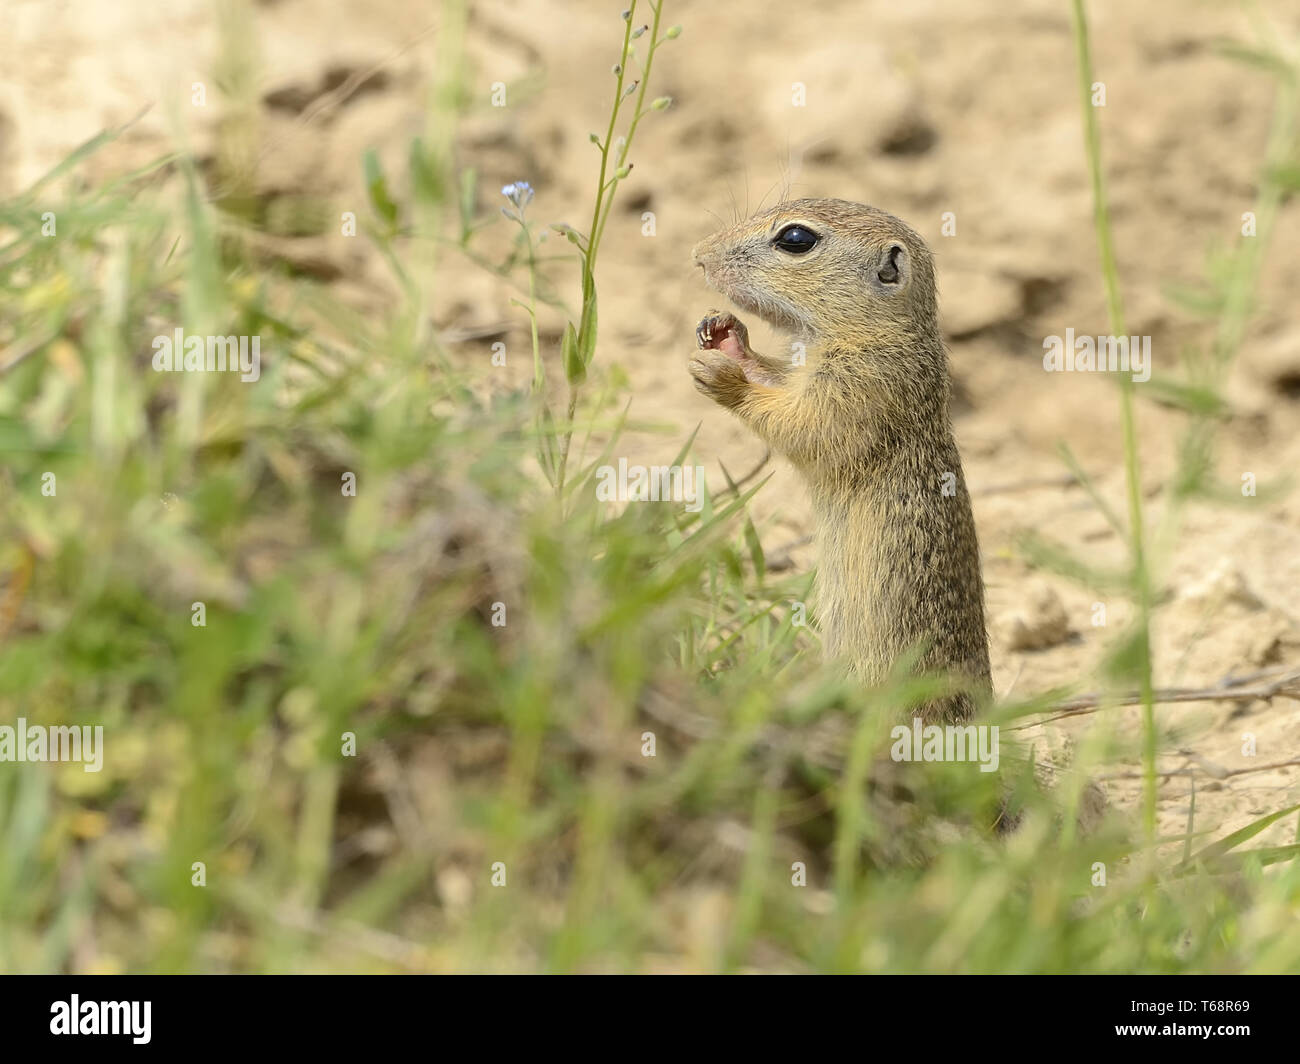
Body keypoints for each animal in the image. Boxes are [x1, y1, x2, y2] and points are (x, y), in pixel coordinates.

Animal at [689, 198, 991, 724]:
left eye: (795, 239)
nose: (700, 255)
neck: (882, 331)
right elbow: (777, 380)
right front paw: (726, 336)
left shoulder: (859, 386)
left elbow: (803, 427)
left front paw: (726, 378)